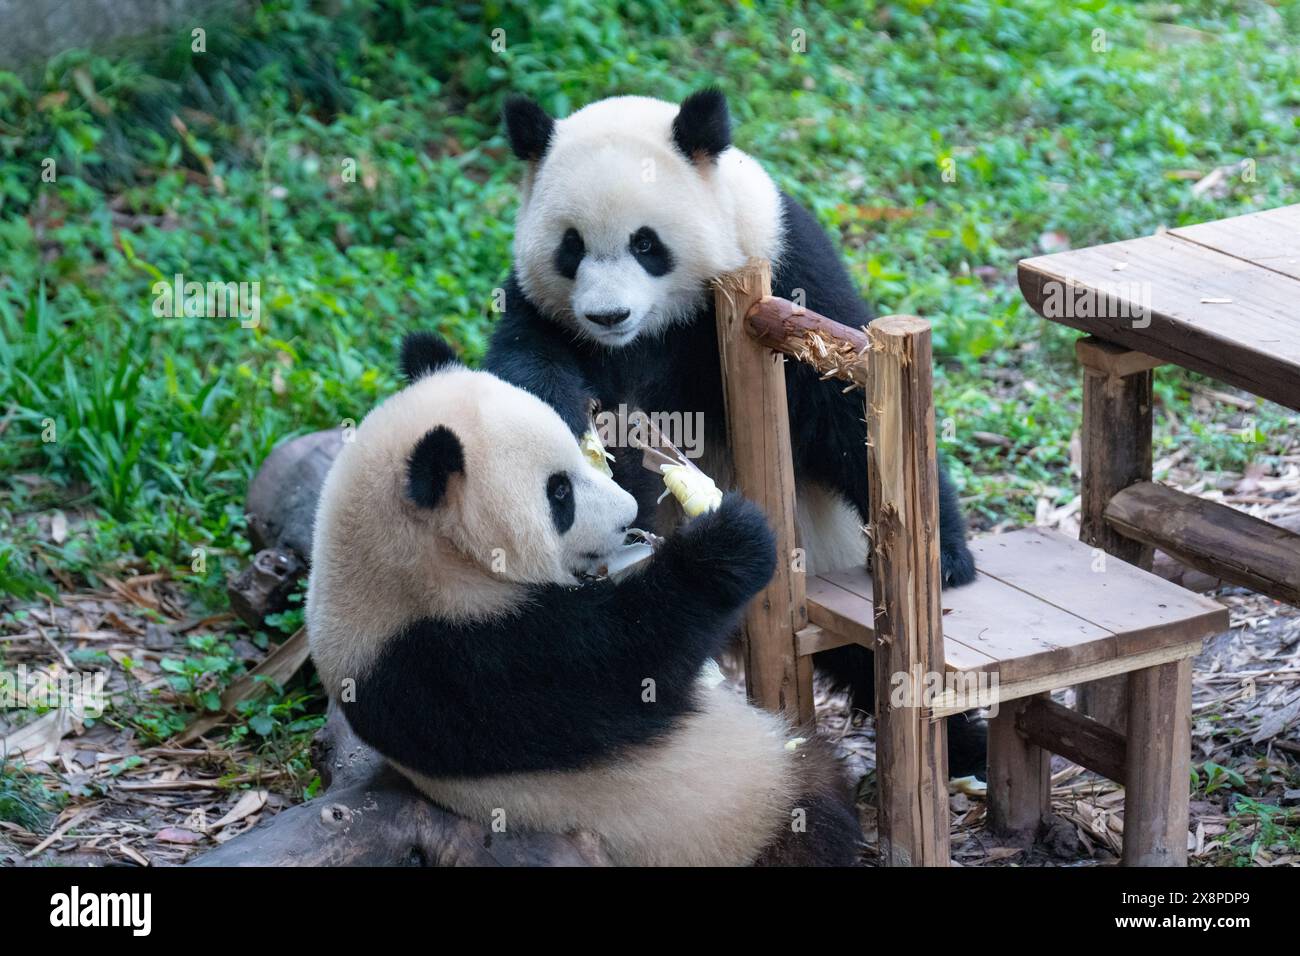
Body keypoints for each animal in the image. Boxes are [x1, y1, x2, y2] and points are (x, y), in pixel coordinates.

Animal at [305, 331, 862, 866]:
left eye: (579, 458)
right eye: (560, 494)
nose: (628, 513)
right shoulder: (445, 665)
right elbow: (625, 667)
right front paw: (727, 544)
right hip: (739, 809)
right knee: (811, 817)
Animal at [484, 89, 986, 776]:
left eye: (646, 244)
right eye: (571, 247)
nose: (608, 314)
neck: (649, 331)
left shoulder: (777, 258)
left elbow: (842, 412)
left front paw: (948, 556)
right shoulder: (542, 309)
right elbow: (525, 371)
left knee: (868, 659)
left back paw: (963, 747)